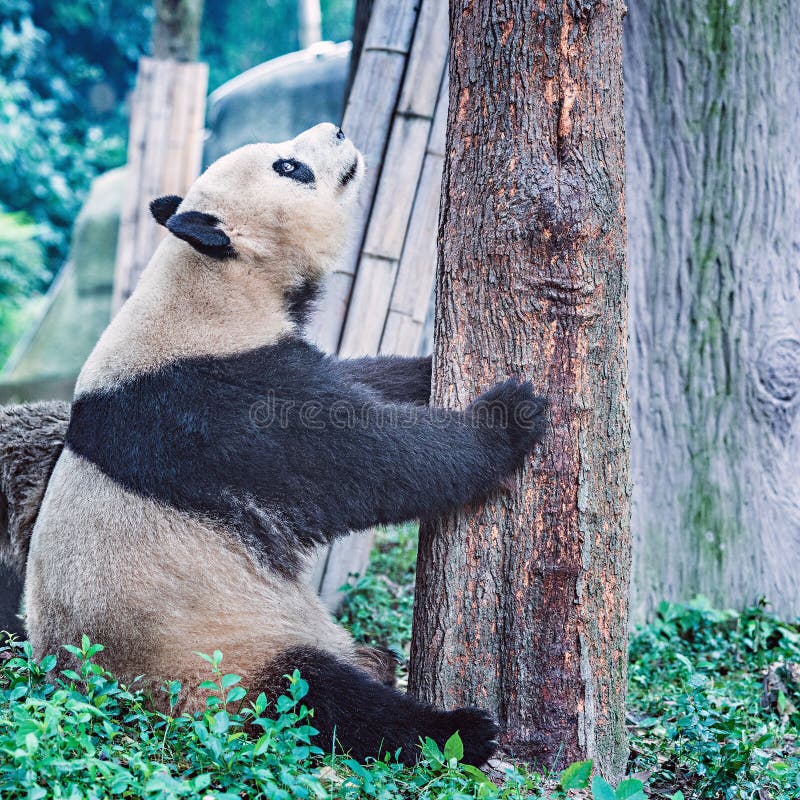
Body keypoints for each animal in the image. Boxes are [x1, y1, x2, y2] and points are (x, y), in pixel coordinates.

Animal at [25, 123, 547, 766]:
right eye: (289, 166)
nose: (339, 130)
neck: (208, 284)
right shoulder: (217, 405)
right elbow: (360, 457)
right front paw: (508, 416)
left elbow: (364, 381)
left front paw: (428, 369)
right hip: (215, 659)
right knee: (319, 700)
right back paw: (457, 731)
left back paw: (382, 661)